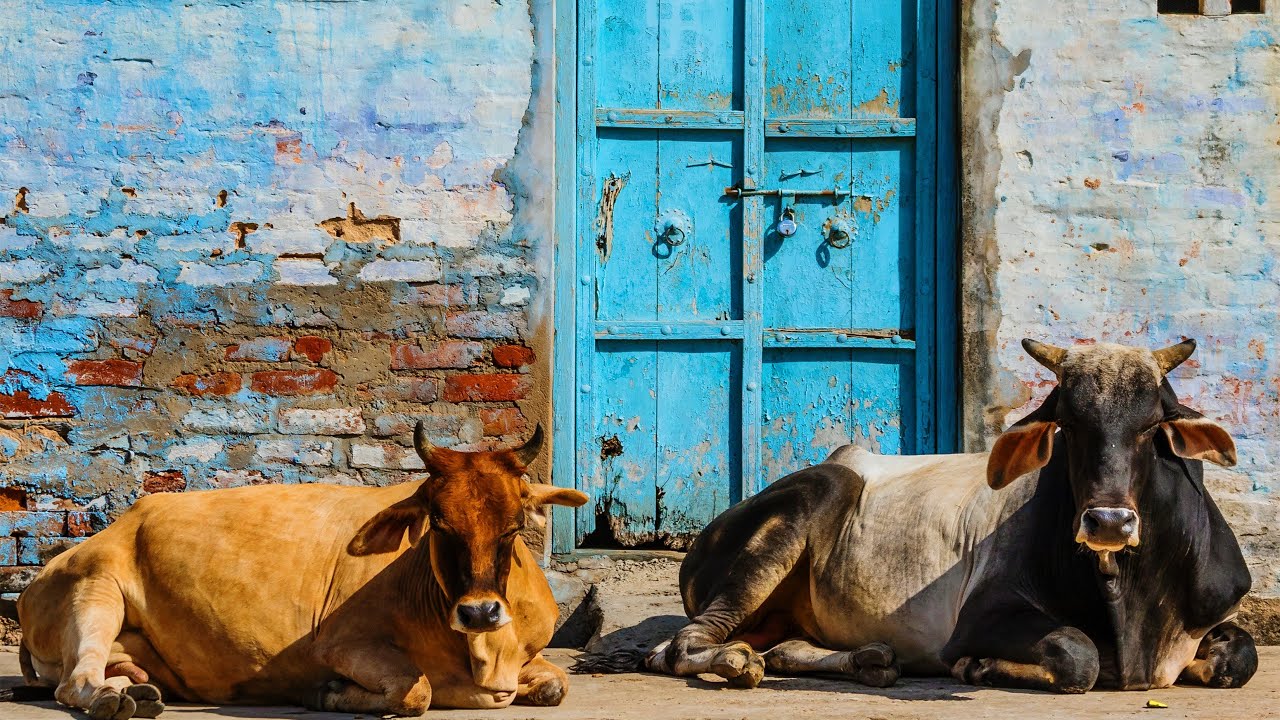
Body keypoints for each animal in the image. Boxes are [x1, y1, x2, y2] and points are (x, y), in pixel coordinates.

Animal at [11, 422, 589, 719]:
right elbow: (418, 690)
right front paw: (328, 694)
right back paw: (112, 700)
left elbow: (555, 683)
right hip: (95, 589)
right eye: (439, 524)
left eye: (514, 526)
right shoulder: (337, 642)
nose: (480, 612)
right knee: (74, 681)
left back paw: (139, 690)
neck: (486, 652)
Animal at [631, 339, 1257, 693]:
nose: (1107, 523)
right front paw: (978, 669)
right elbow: (1078, 656)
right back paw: (736, 662)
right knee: (681, 648)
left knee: (784, 648)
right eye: (1068, 424)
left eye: (1152, 426)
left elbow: (1241, 656)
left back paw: (871, 660)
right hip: (820, 491)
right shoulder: (980, 617)